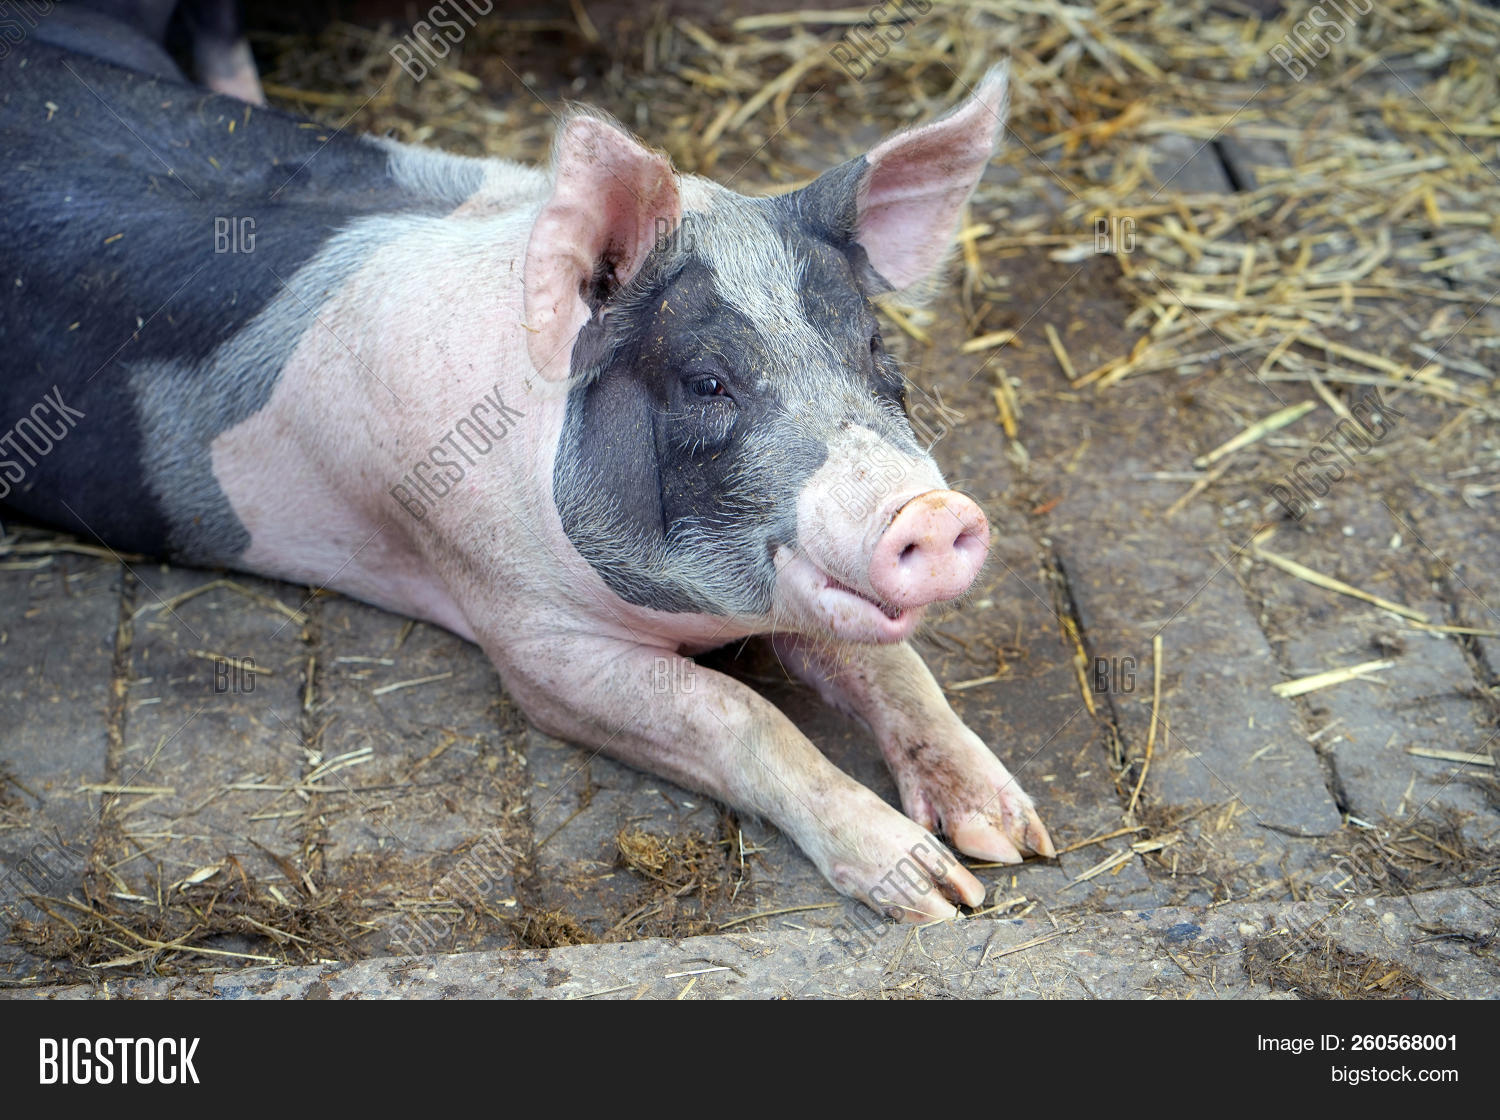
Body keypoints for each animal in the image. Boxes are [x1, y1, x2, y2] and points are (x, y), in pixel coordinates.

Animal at [0, 7, 1054, 923]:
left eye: (875, 348)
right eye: (708, 381)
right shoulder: (533, 641)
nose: (932, 514)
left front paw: (1010, 843)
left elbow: (891, 665)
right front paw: (938, 895)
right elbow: (733, 715)